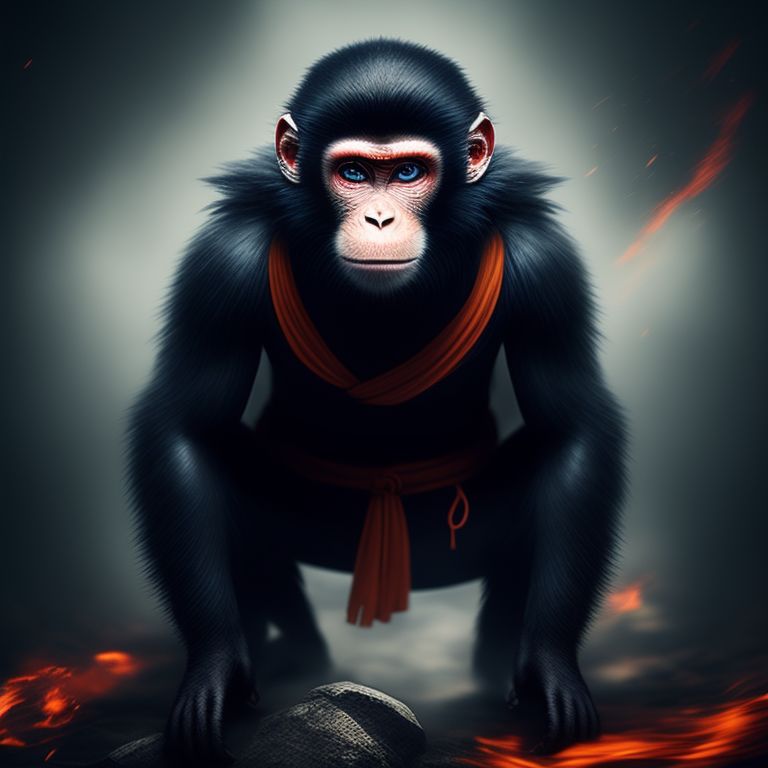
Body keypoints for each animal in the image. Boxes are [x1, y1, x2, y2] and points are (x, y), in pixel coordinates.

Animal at [125, 38, 629, 764]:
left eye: (410, 171)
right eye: (355, 173)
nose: (381, 217)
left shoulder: (546, 265)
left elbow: (571, 427)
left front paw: (548, 664)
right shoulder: (222, 261)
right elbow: (187, 425)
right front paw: (217, 665)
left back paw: (493, 667)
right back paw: (297, 656)